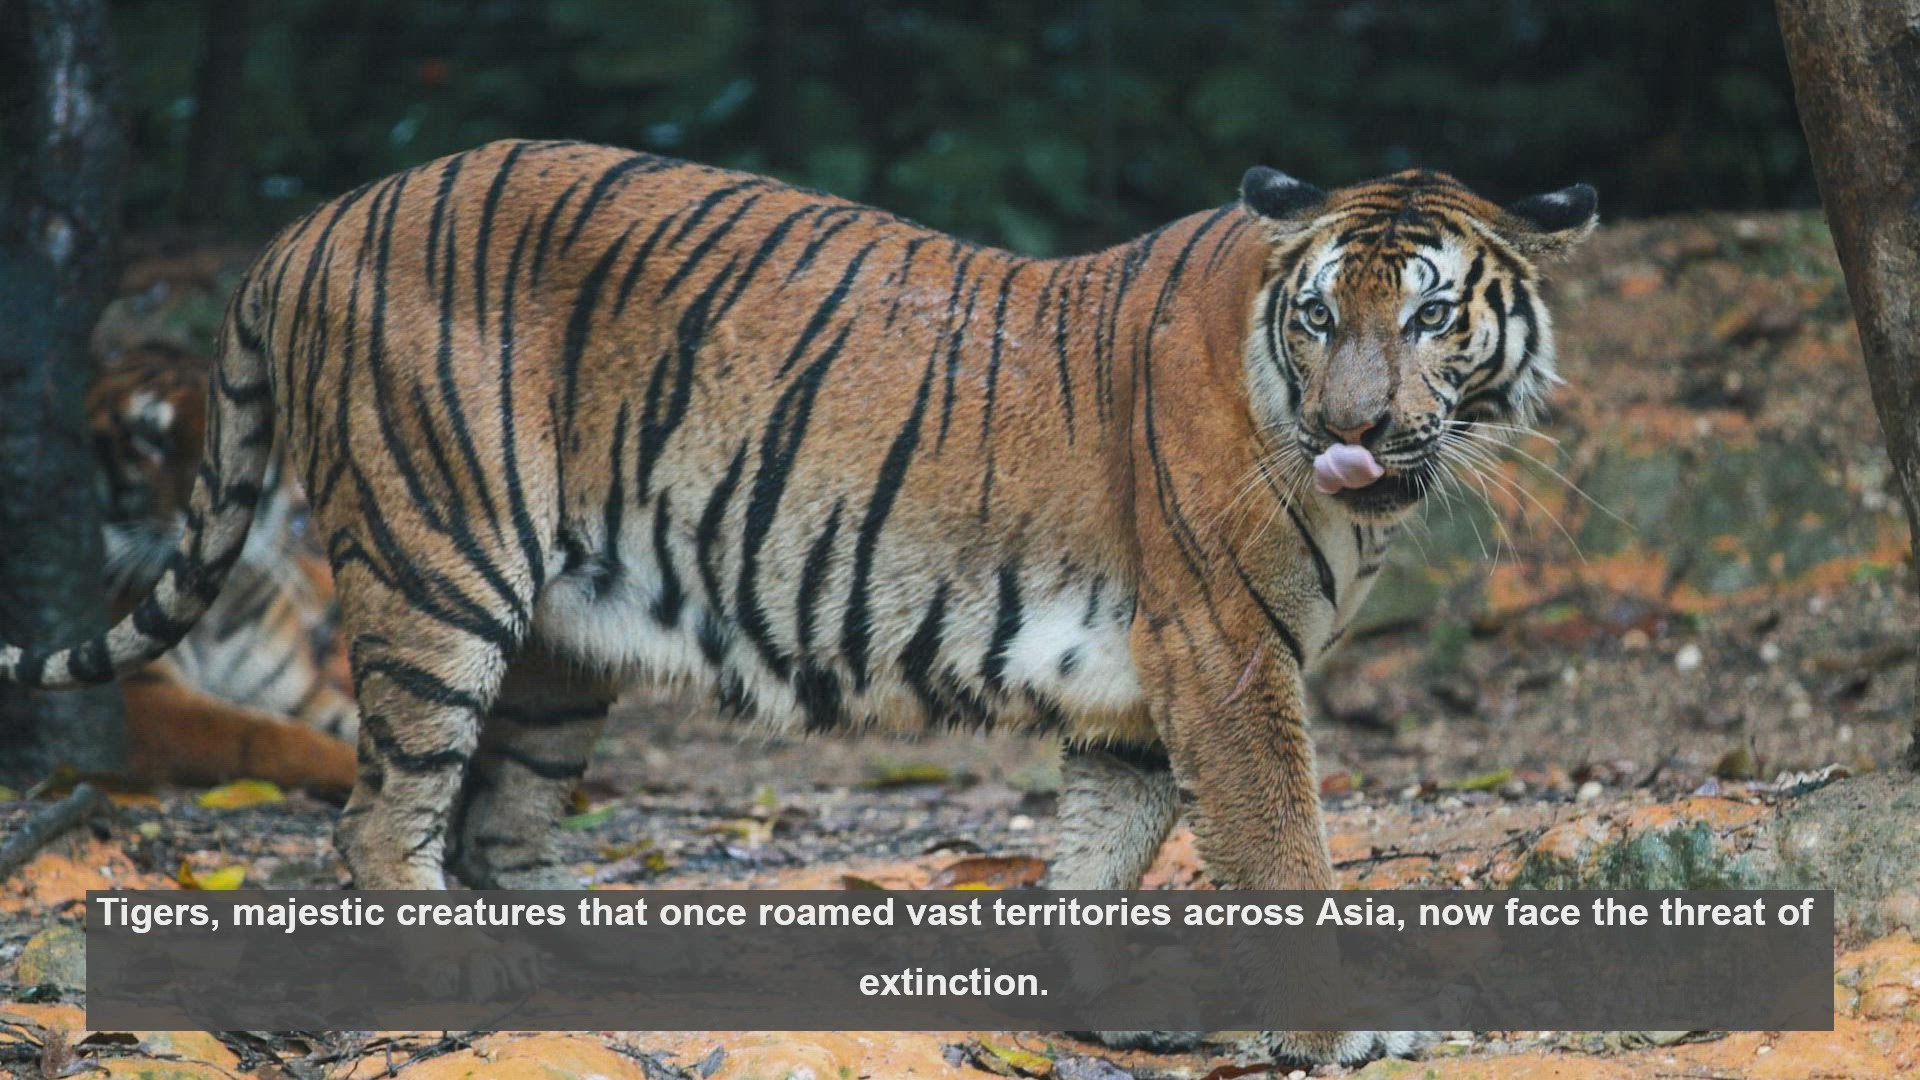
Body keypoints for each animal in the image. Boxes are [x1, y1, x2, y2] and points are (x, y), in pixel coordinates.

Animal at [88, 344, 357, 791]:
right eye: (150, 438)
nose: (213, 509)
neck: (217, 605)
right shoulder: (144, 699)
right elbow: (267, 738)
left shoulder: (300, 695)